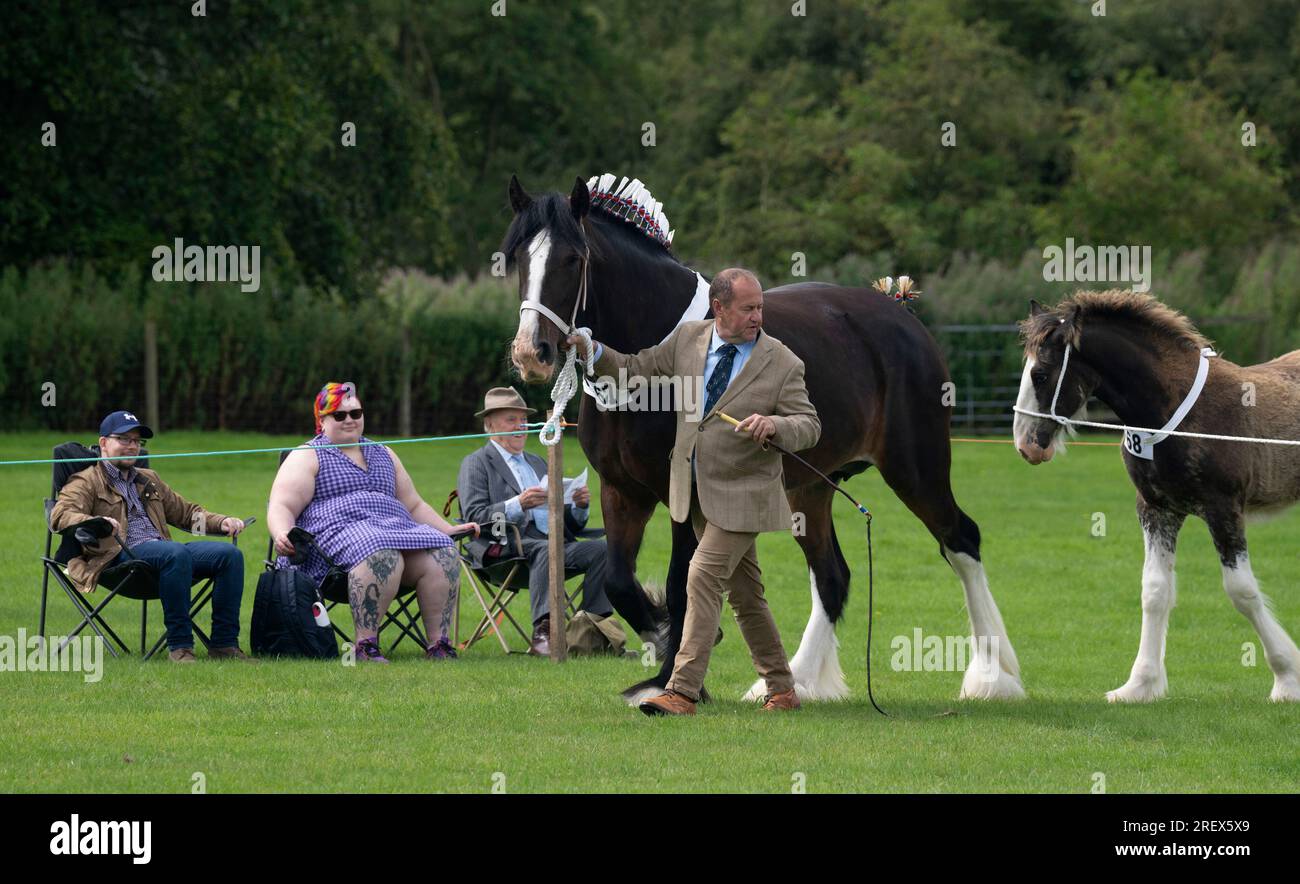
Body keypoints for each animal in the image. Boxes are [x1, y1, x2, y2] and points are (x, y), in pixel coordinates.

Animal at [502, 172, 1024, 703]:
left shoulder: (683, 492)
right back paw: (798, 679)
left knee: (961, 540)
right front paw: (662, 639)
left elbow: (680, 582)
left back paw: (991, 677)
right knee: (833, 576)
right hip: (810, 488)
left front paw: (674, 675)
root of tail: (903, 319)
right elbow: (620, 582)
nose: (531, 353)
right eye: (519, 257)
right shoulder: (621, 491)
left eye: (572, 258)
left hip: (916, 469)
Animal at [1013, 289, 1300, 702]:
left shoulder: (1224, 508)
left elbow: (1242, 591)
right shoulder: (1157, 509)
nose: (1026, 445)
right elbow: (1154, 590)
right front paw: (1139, 684)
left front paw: (1287, 678)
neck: (1178, 413)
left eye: (1040, 374)